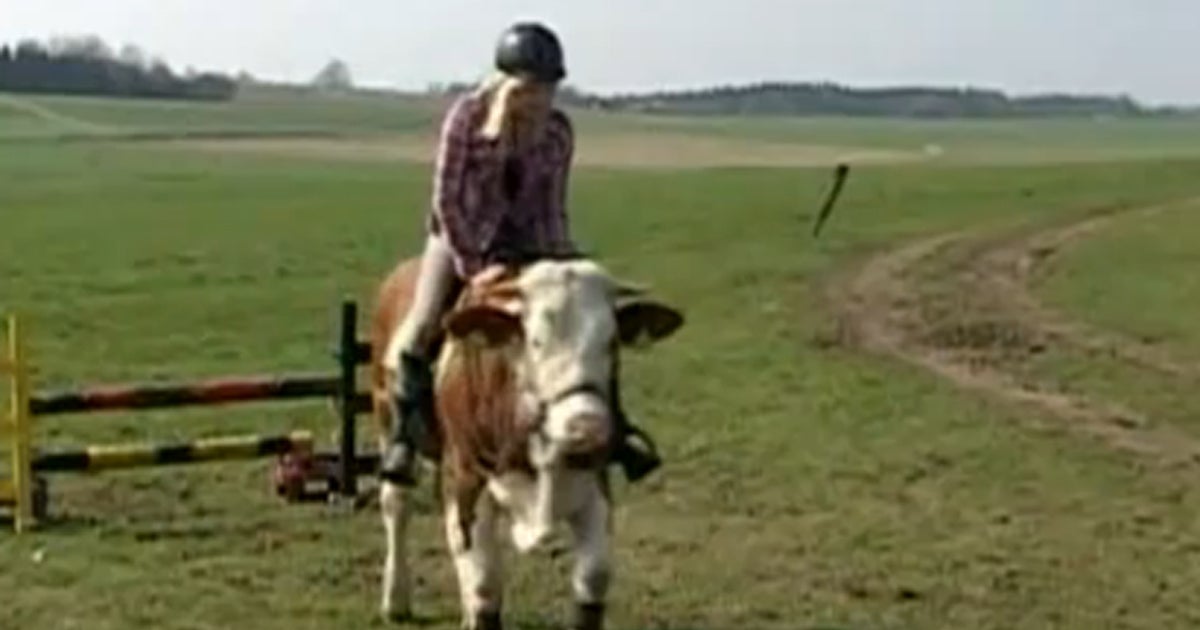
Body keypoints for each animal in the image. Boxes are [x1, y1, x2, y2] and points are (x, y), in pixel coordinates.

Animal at [368, 254, 685, 630]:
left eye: (612, 342)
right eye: (535, 341)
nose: (586, 428)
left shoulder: (594, 484)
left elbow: (593, 577)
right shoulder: (466, 479)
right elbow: (485, 587)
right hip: (387, 419)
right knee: (397, 506)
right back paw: (395, 600)